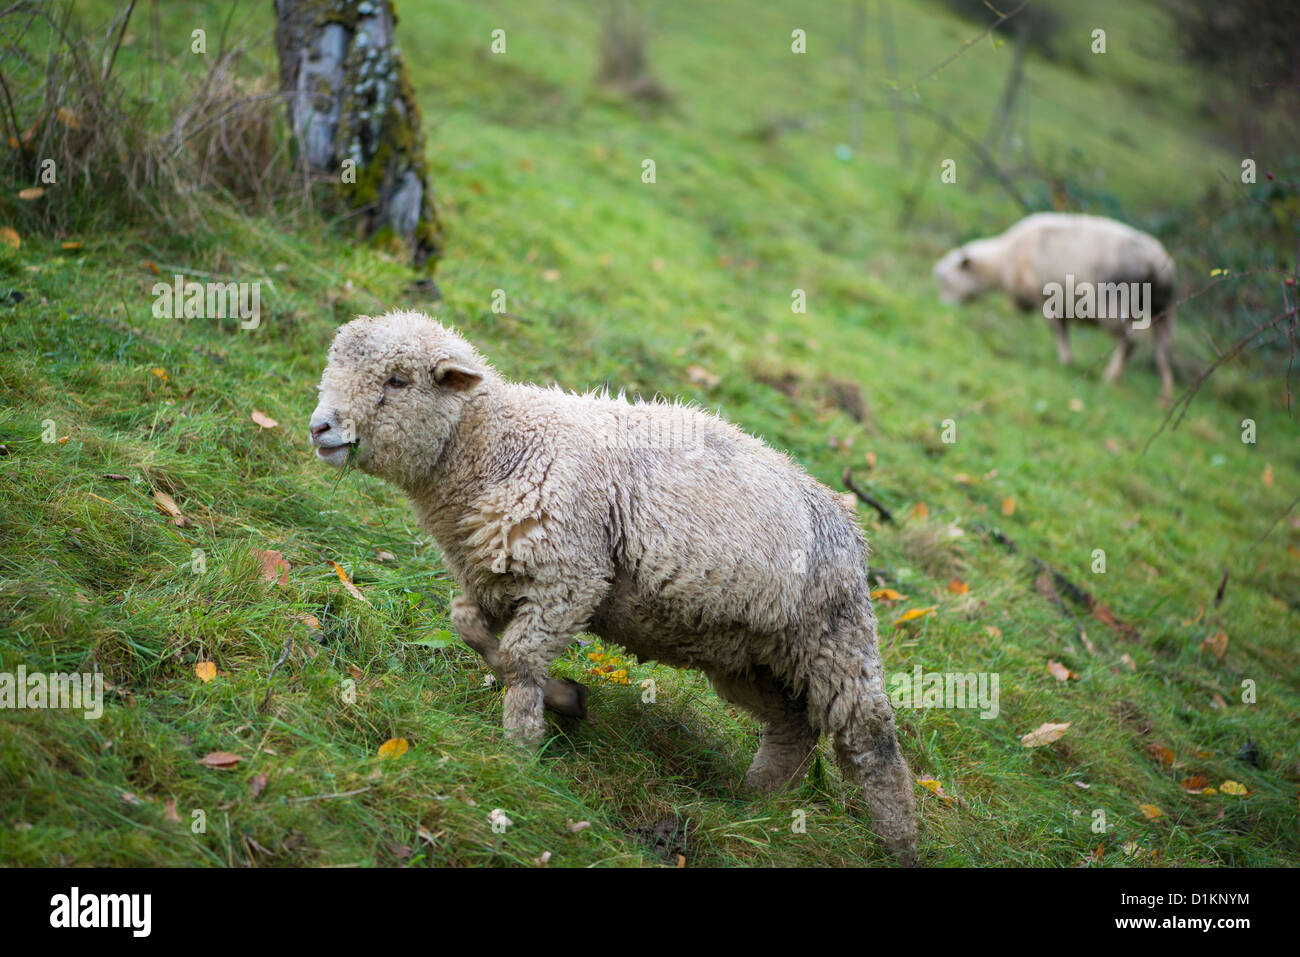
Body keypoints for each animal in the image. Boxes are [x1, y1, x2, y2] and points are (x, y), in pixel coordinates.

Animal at [309, 310, 919, 864]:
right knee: (793, 725)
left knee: (872, 739)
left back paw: (898, 843)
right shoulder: (491, 576)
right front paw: (564, 699)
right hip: (746, 651)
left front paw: (520, 750)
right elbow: (472, 631)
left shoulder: (571, 577)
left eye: (397, 380)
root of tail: (847, 520)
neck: (499, 445)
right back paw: (753, 807)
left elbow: (519, 659)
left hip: (836, 635)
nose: (320, 428)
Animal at [933, 212, 1177, 400]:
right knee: (1163, 352)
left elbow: (1058, 331)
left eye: (946, 280)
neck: (1003, 260)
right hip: (1163, 308)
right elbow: (1063, 331)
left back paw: (1110, 378)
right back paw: (1165, 397)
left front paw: (1065, 361)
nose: (944, 306)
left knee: (1130, 343)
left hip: (1111, 303)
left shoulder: (1046, 300)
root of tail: (1156, 260)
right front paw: (1067, 359)